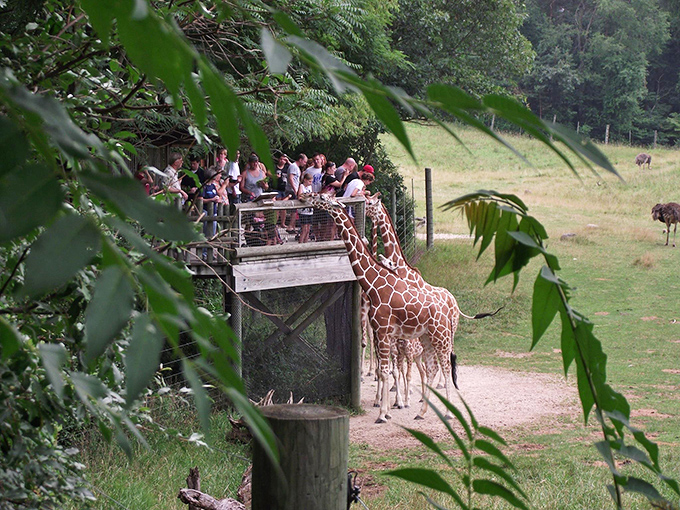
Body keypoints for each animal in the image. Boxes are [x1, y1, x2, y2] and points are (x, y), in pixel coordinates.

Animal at [301, 193, 453, 423]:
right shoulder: (382, 331)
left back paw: (447, 413)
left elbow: (386, 370)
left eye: (323, 198)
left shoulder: (383, 331)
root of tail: (448, 304)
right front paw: (389, 407)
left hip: (440, 334)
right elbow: (387, 369)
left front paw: (384, 413)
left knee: (445, 366)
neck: (373, 283)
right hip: (427, 336)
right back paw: (421, 412)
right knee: (433, 367)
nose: (305, 196)